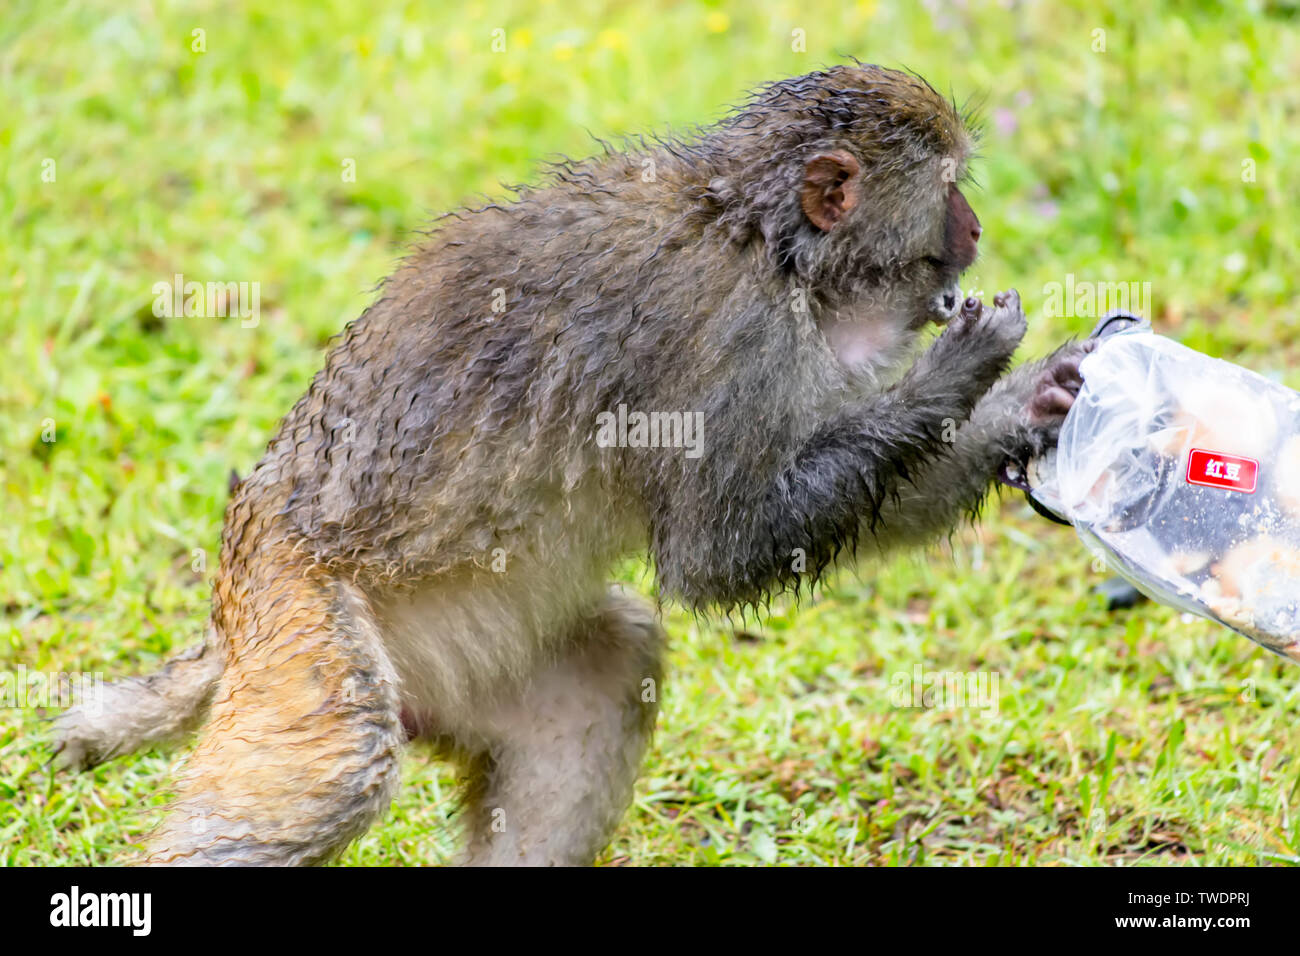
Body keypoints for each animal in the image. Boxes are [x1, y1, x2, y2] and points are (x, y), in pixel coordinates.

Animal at [52, 64, 1091, 866]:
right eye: (950, 188)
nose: (976, 228)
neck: (773, 250)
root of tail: (235, 589)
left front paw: (1039, 400)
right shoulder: (721, 337)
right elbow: (715, 554)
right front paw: (963, 368)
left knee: (609, 668)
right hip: (295, 608)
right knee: (337, 767)